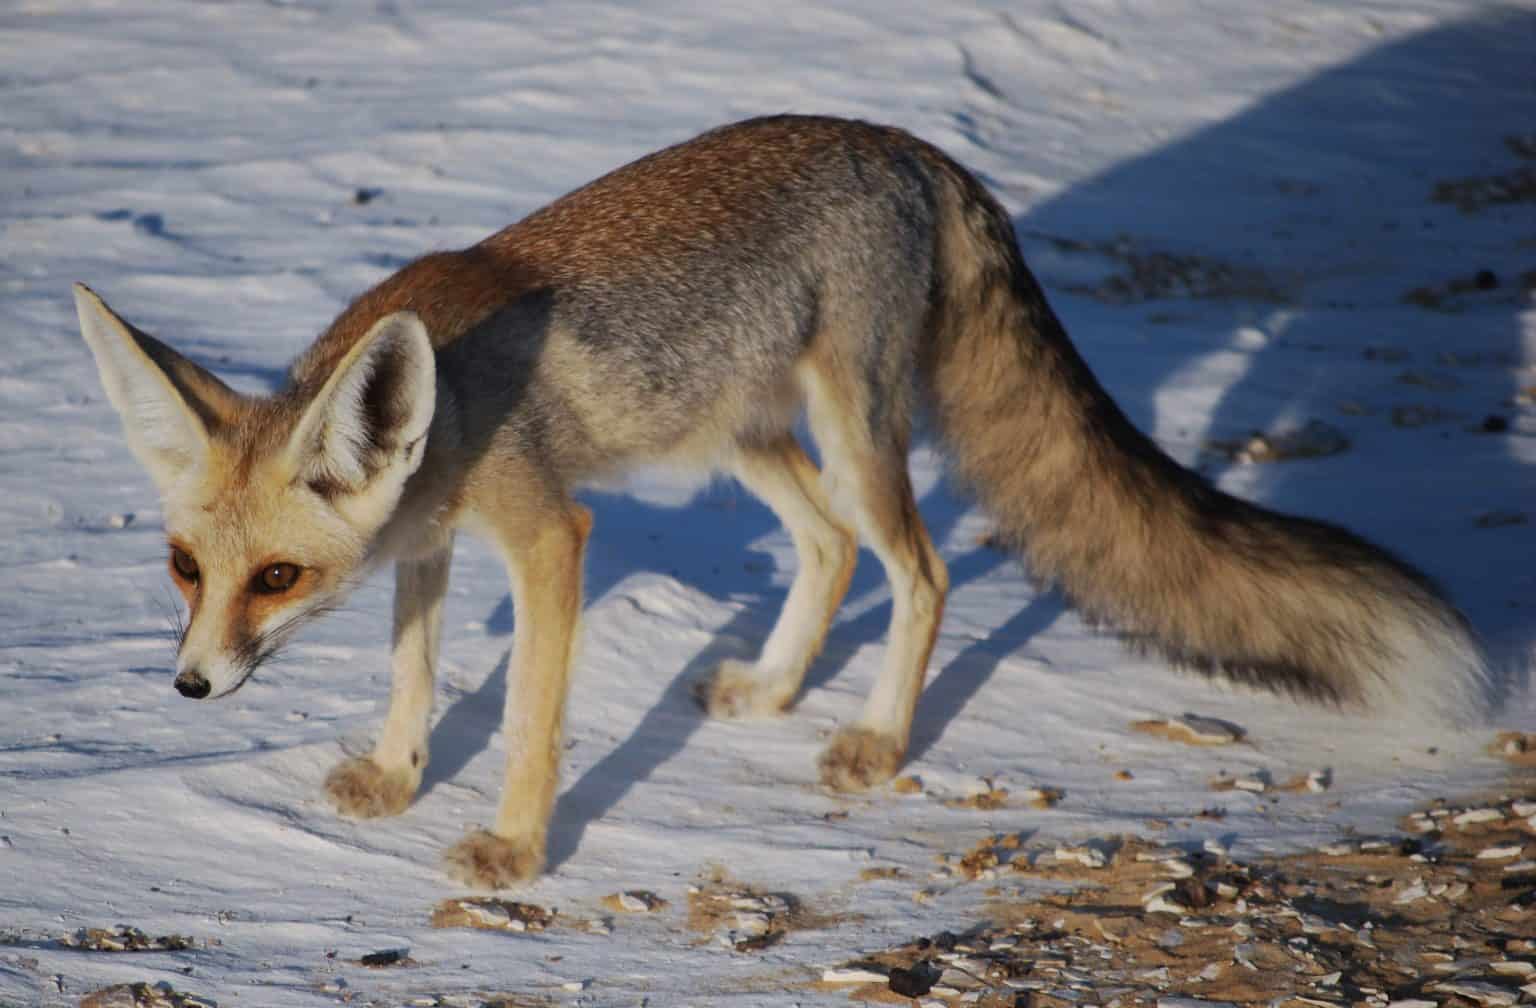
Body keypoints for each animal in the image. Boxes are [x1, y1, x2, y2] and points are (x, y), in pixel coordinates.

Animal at [75, 114, 1487, 888]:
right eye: (185, 569)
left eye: (276, 579)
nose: (190, 686)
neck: (454, 408)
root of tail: (915, 148)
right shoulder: (429, 543)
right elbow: (414, 673)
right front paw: (395, 774)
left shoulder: (547, 532)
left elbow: (529, 721)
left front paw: (516, 853)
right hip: (746, 436)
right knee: (831, 551)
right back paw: (774, 687)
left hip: (851, 429)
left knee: (920, 569)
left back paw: (873, 739)